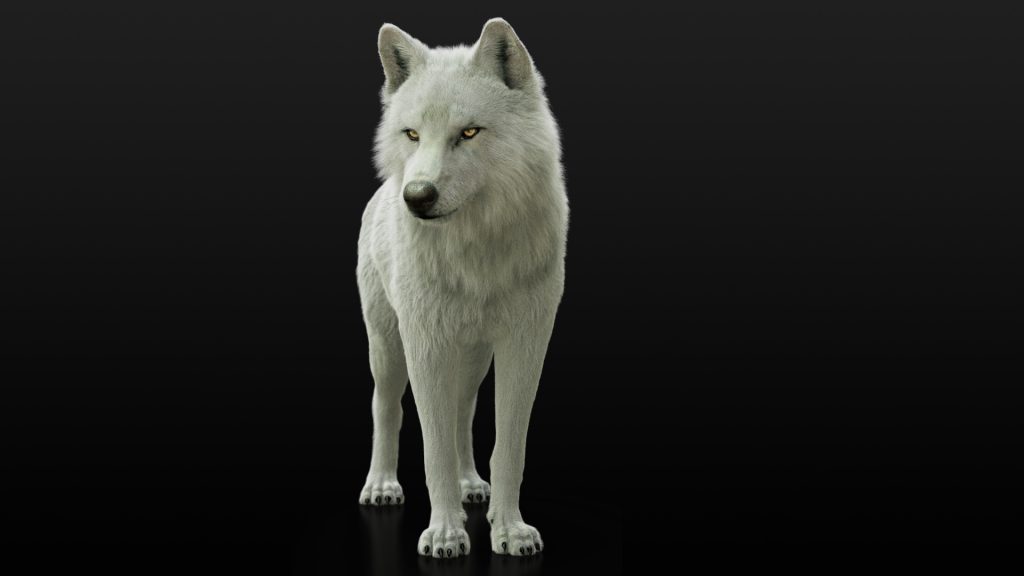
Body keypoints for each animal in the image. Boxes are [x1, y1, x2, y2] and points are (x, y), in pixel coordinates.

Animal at [355, 18, 568, 559]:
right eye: (412, 134)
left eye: (469, 132)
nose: (416, 197)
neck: (477, 254)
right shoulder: (426, 345)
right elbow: (432, 451)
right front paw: (446, 535)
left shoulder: (525, 344)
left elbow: (508, 446)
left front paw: (509, 529)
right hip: (388, 348)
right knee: (386, 407)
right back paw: (381, 485)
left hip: (472, 359)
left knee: (462, 414)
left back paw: (472, 485)